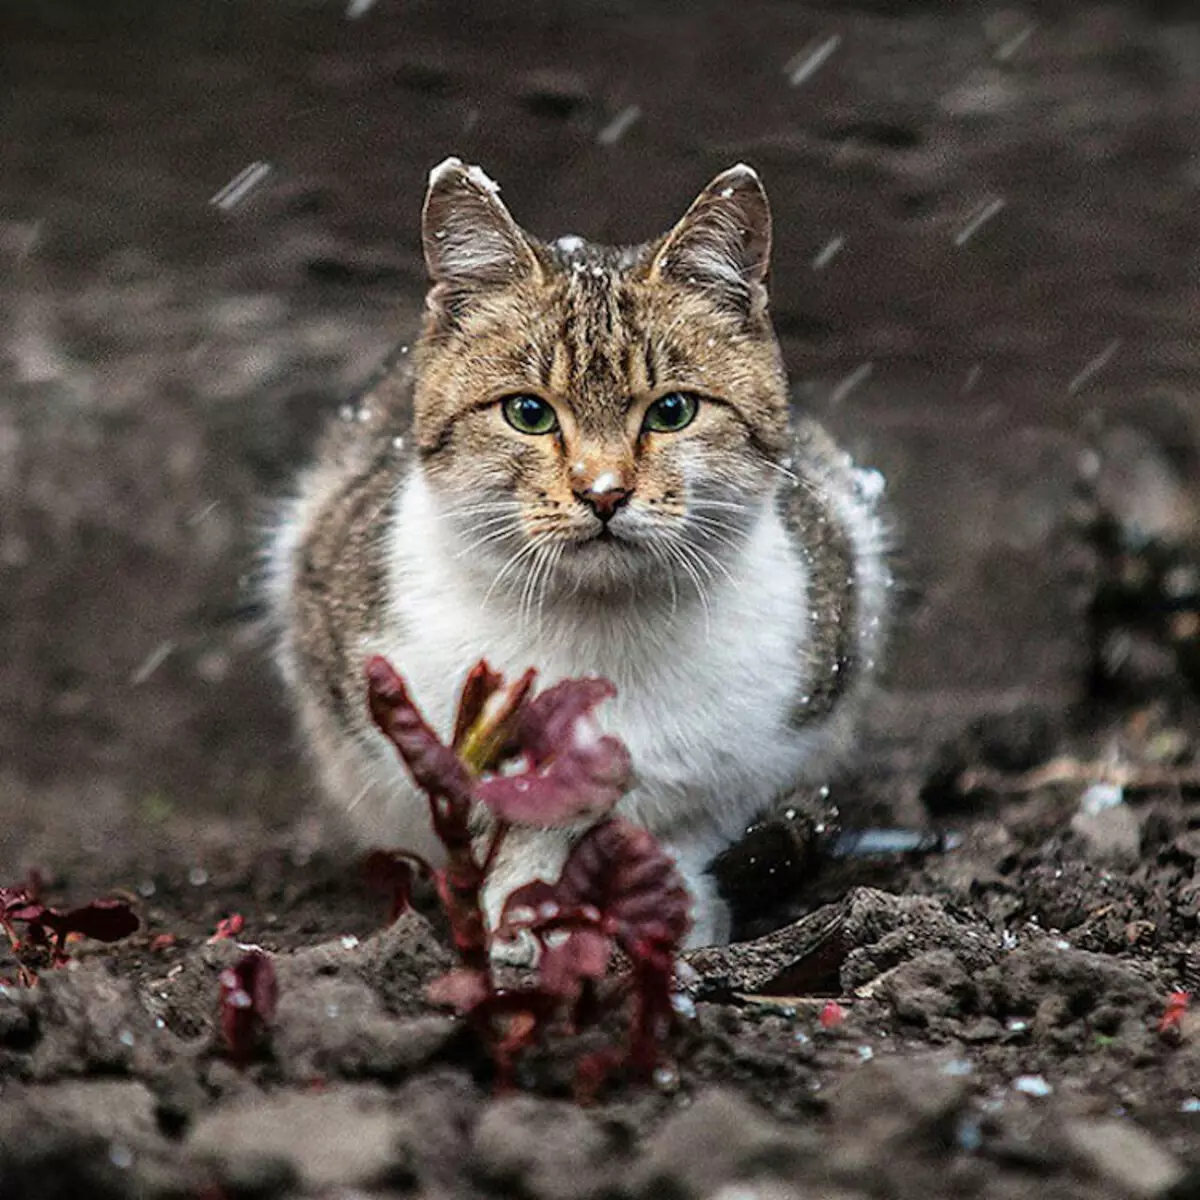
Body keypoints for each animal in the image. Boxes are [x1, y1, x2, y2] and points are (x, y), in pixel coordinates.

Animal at [270, 157, 892, 945]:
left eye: (672, 411)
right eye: (528, 413)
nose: (603, 492)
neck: (599, 626)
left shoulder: (763, 747)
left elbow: (683, 835)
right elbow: (514, 837)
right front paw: (525, 928)